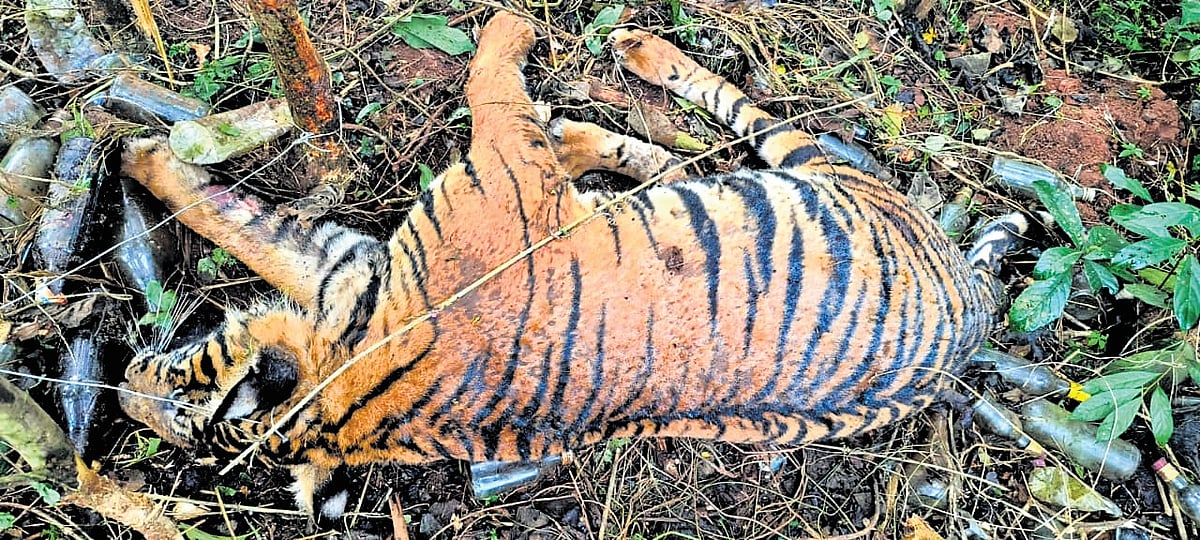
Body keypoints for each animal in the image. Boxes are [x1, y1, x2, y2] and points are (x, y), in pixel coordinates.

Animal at [117, 11, 1027, 521]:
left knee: (731, 116)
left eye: (184, 383)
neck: (357, 377)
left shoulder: (482, 179)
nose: (124, 383)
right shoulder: (351, 264)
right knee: (670, 161)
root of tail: (974, 314)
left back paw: (625, 66)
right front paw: (146, 160)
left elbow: (488, 75)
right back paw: (586, 129)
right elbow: (240, 224)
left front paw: (137, 156)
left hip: (826, 169)